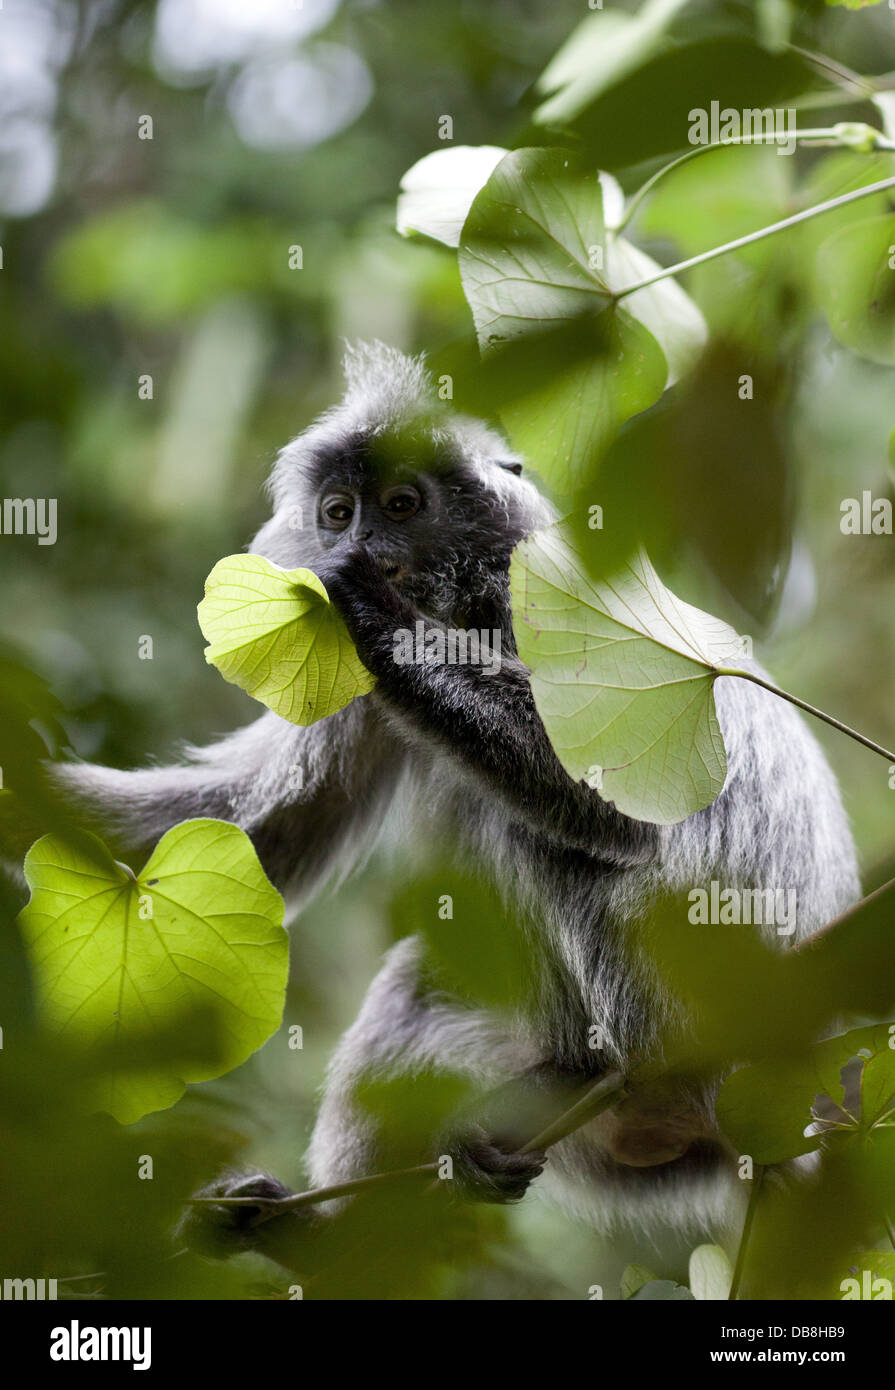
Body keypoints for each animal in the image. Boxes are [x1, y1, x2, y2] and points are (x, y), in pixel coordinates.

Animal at [25, 342, 860, 1254]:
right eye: (338, 512)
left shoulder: (544, 590)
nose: (364, 548)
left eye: (402, 504)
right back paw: (323, 1236)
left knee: (558, 844)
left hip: (695, 994)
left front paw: (371, 613)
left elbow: (628, 801)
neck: (460, 612)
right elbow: (272, 823)